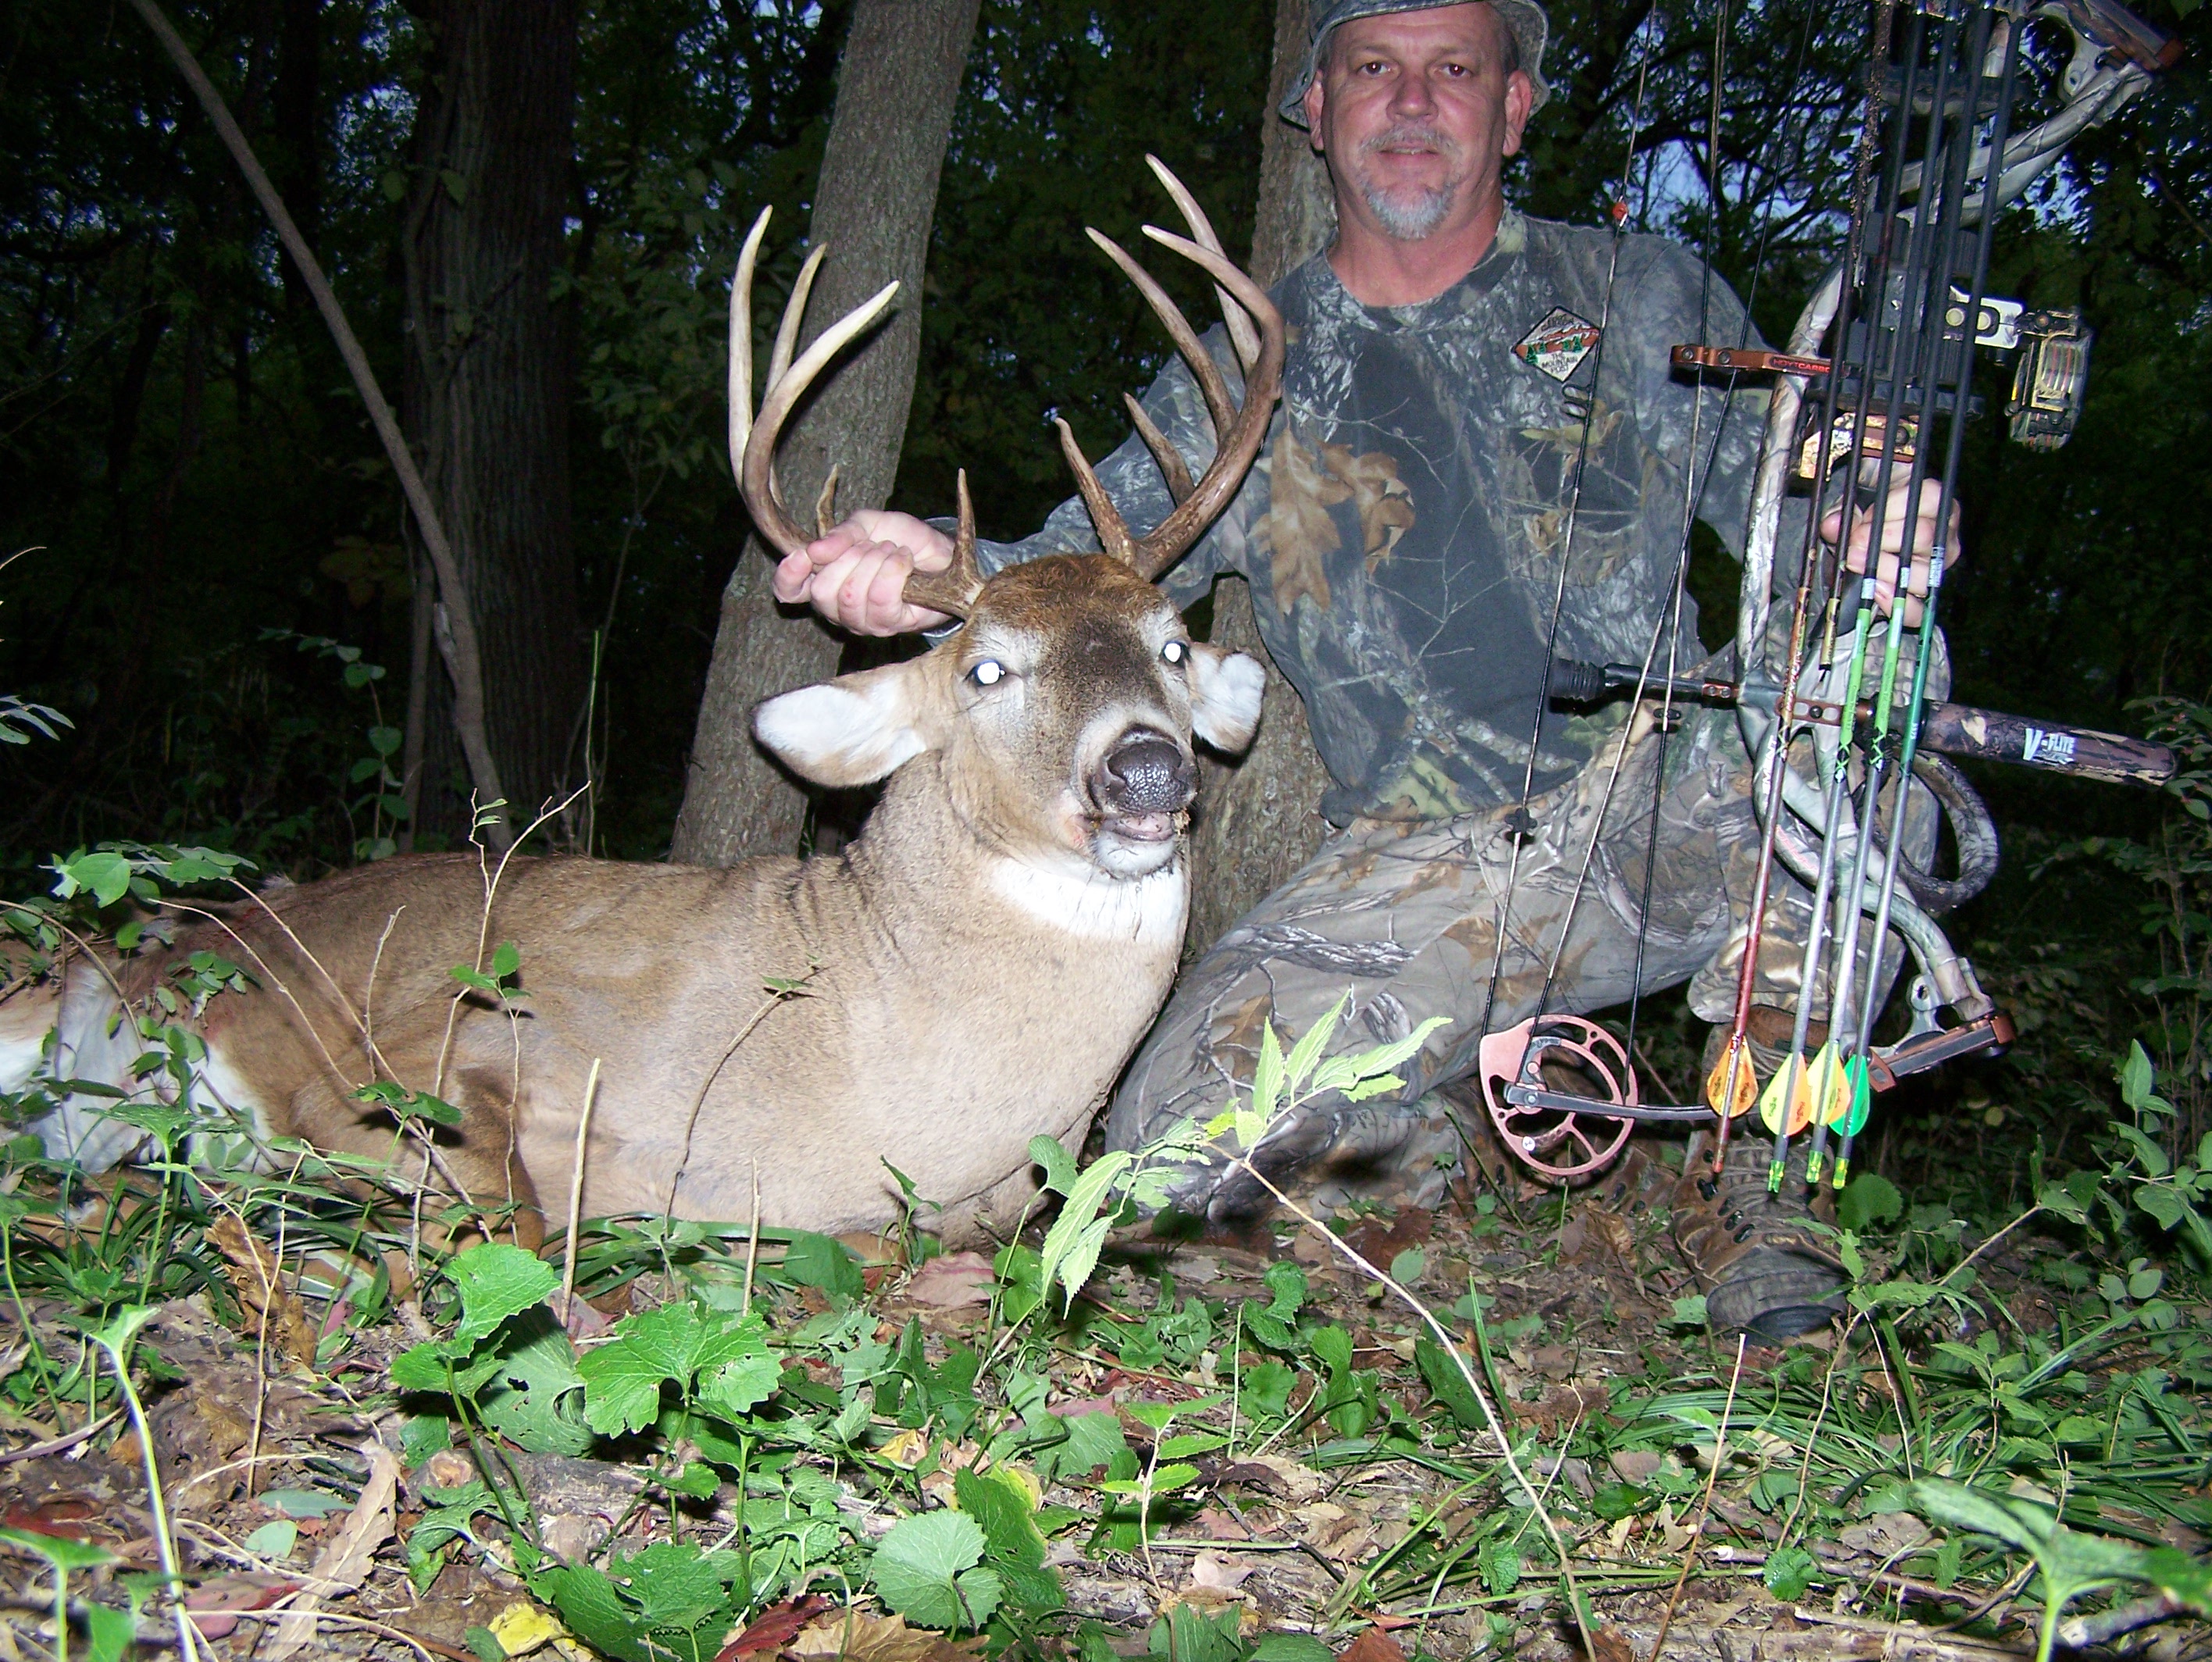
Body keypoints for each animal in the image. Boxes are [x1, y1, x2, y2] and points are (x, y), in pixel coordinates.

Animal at [0, 162, 1283, 1248]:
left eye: (1172, 648)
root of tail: (137, 960)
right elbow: (510, 1206)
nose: (1147, 768)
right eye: (986, 670)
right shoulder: (440, 1039)